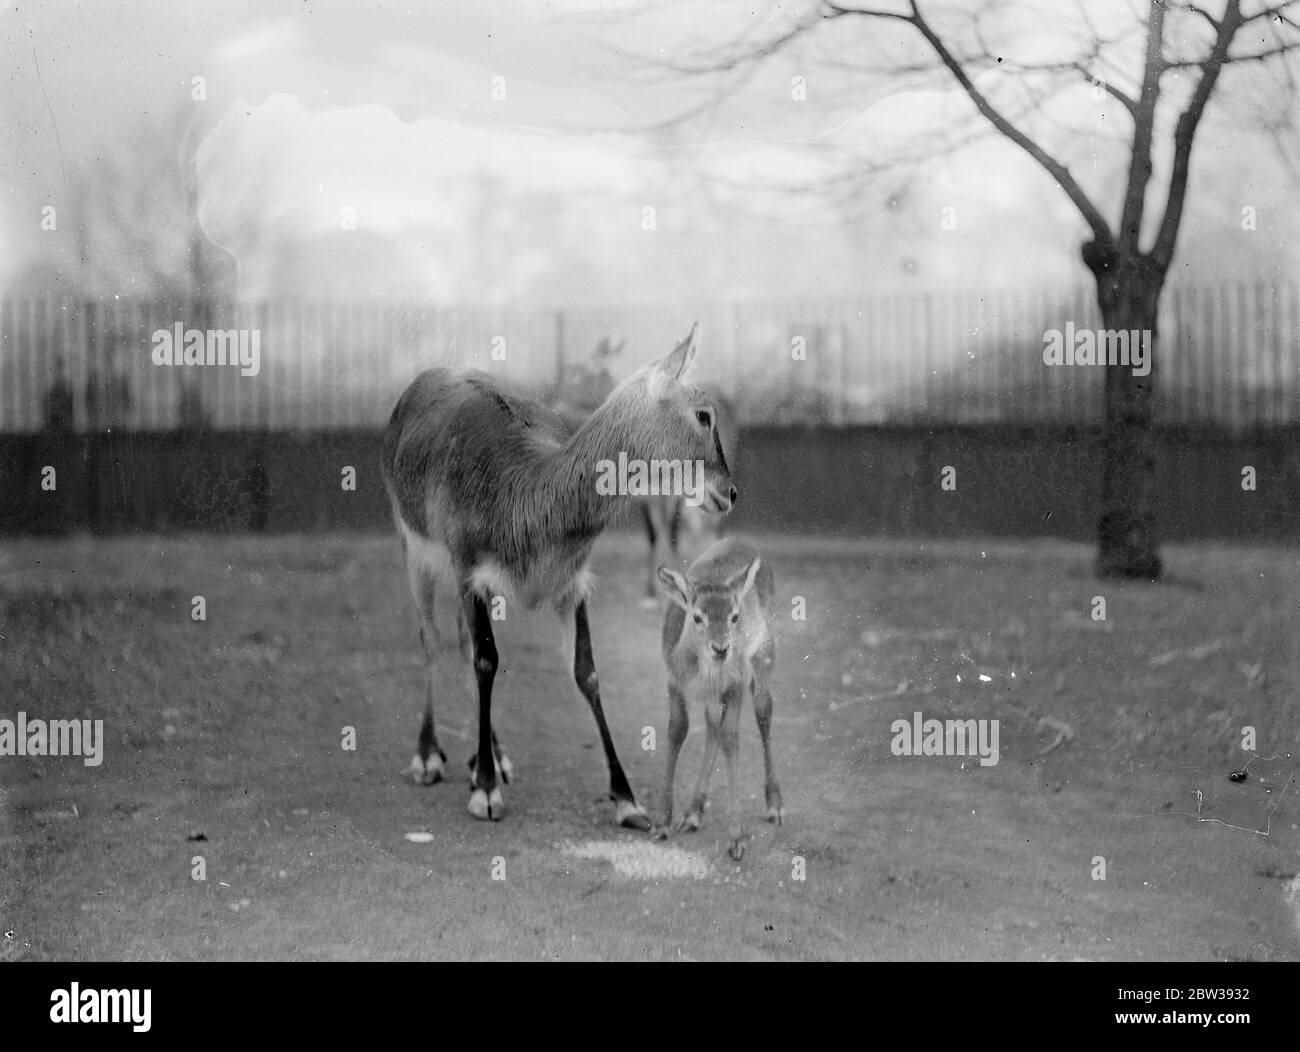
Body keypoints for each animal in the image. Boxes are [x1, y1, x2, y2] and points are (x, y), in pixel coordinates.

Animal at [380, 323, 736, 826]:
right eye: (703, 414)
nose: (730, 491)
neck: (524, 496)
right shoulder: (469, 568)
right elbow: (487, 660)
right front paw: (485, 793)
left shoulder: (572, 582)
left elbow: (585, 671)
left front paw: (627, 800)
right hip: (413, 547)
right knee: (431, 637)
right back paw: (430, 756)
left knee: (461, 640)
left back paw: (492, 757)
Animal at [652, 537, 781, 860]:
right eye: (697, 616)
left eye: (735, 616)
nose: (721, 649)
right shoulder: (672, 678)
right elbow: (677, 730)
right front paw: (661, 822)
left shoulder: (736, 681)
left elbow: (731, 738)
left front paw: (738, 838)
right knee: (712, 724)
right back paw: (693, 811)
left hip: (765, 649)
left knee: (764, 709)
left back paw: (774, 804)